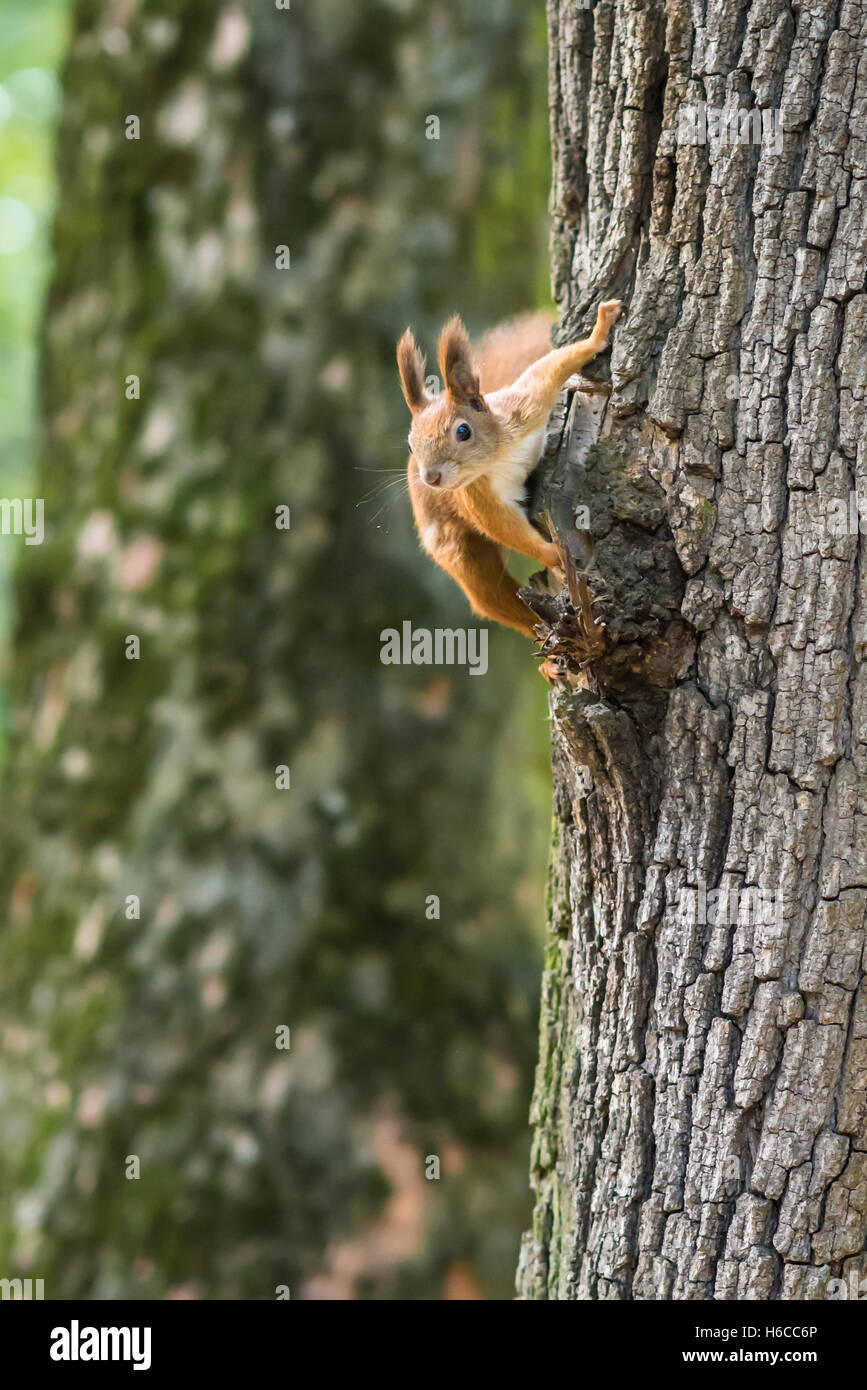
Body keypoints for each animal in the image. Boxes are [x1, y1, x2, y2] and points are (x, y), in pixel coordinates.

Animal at [396, 299, 624, 639]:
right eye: (411, 445)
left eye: (463, 431)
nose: (431, 478)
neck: (498, 456)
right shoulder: (476, 496)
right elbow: (504, 527)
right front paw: (553, 556)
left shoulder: (526, 405)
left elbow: (551, 367)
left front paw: (600, 329)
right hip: (453, 544)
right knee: (488, 592)